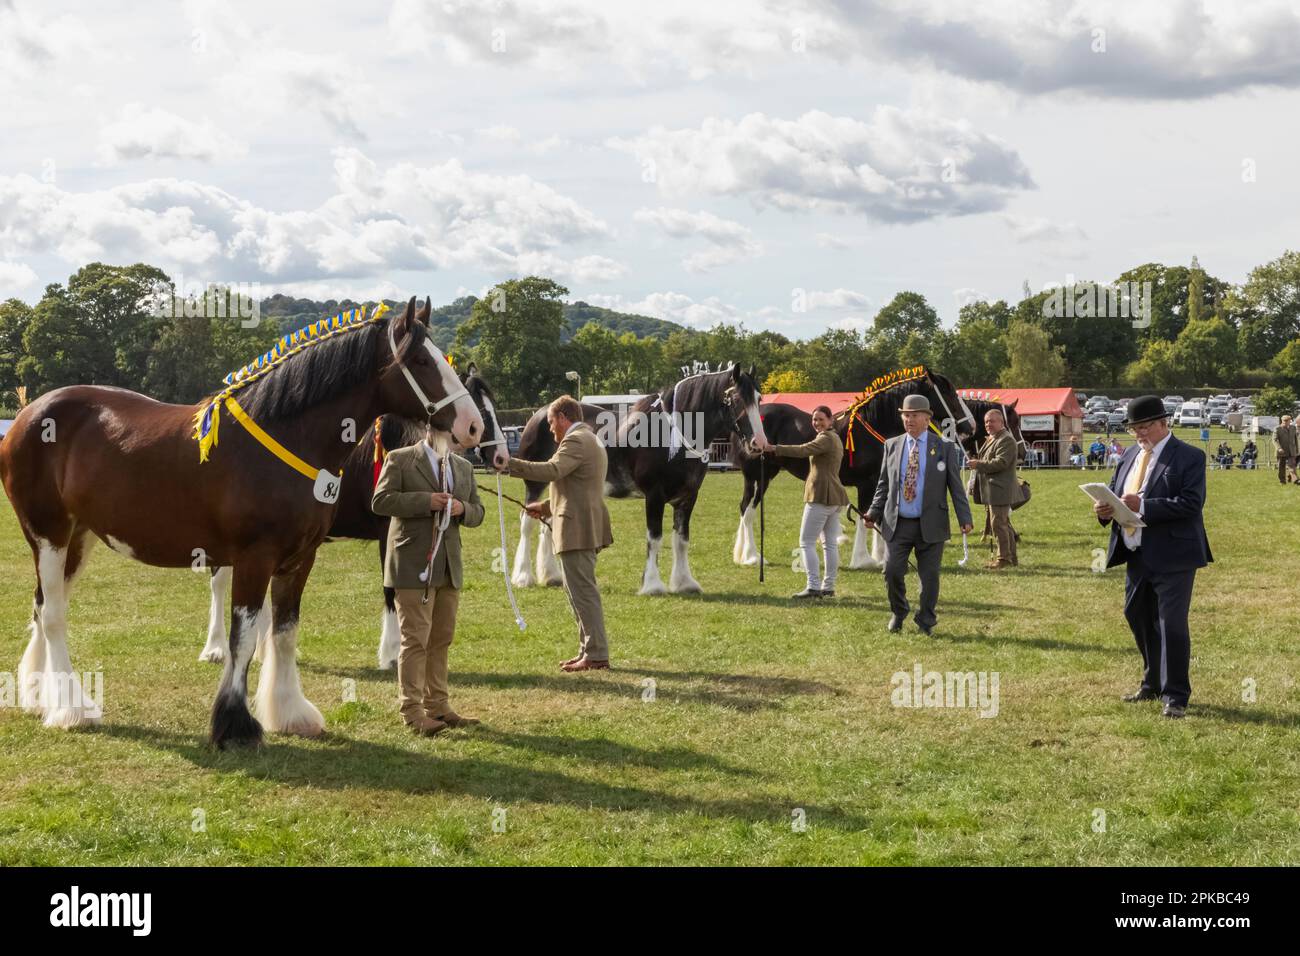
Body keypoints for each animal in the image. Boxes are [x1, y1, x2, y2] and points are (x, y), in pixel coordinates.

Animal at [198, 362, 510, 671]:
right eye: (481, 411)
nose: (502, 457)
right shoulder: (389, 530)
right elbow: (391, 589)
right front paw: (392, 653)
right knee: (219, 582)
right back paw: (215, 649)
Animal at [511, 363, 766, 594]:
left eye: (759, 398)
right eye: (736, 398)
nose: (759, 443)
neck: (672, 434)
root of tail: (540, 414)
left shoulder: (687, 497)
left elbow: (681, 539)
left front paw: (685, 583)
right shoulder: (654, 496)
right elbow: (655, 538)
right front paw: (652, 585)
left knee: (548, 522)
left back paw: (552, 576)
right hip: (536, 483)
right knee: (526, 522)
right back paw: (523, 577)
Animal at [731, 367, 975, 572]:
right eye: (949, 393)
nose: (970, 426)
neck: (875, 424)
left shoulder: (881, 481)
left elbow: (877, 518)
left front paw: (880, 556)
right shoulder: (866, 483)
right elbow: (864, 518)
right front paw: (863, 559)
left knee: (743, 508)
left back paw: (741, 555)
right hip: (758, 477)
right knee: (748, 510)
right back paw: (752, 557)